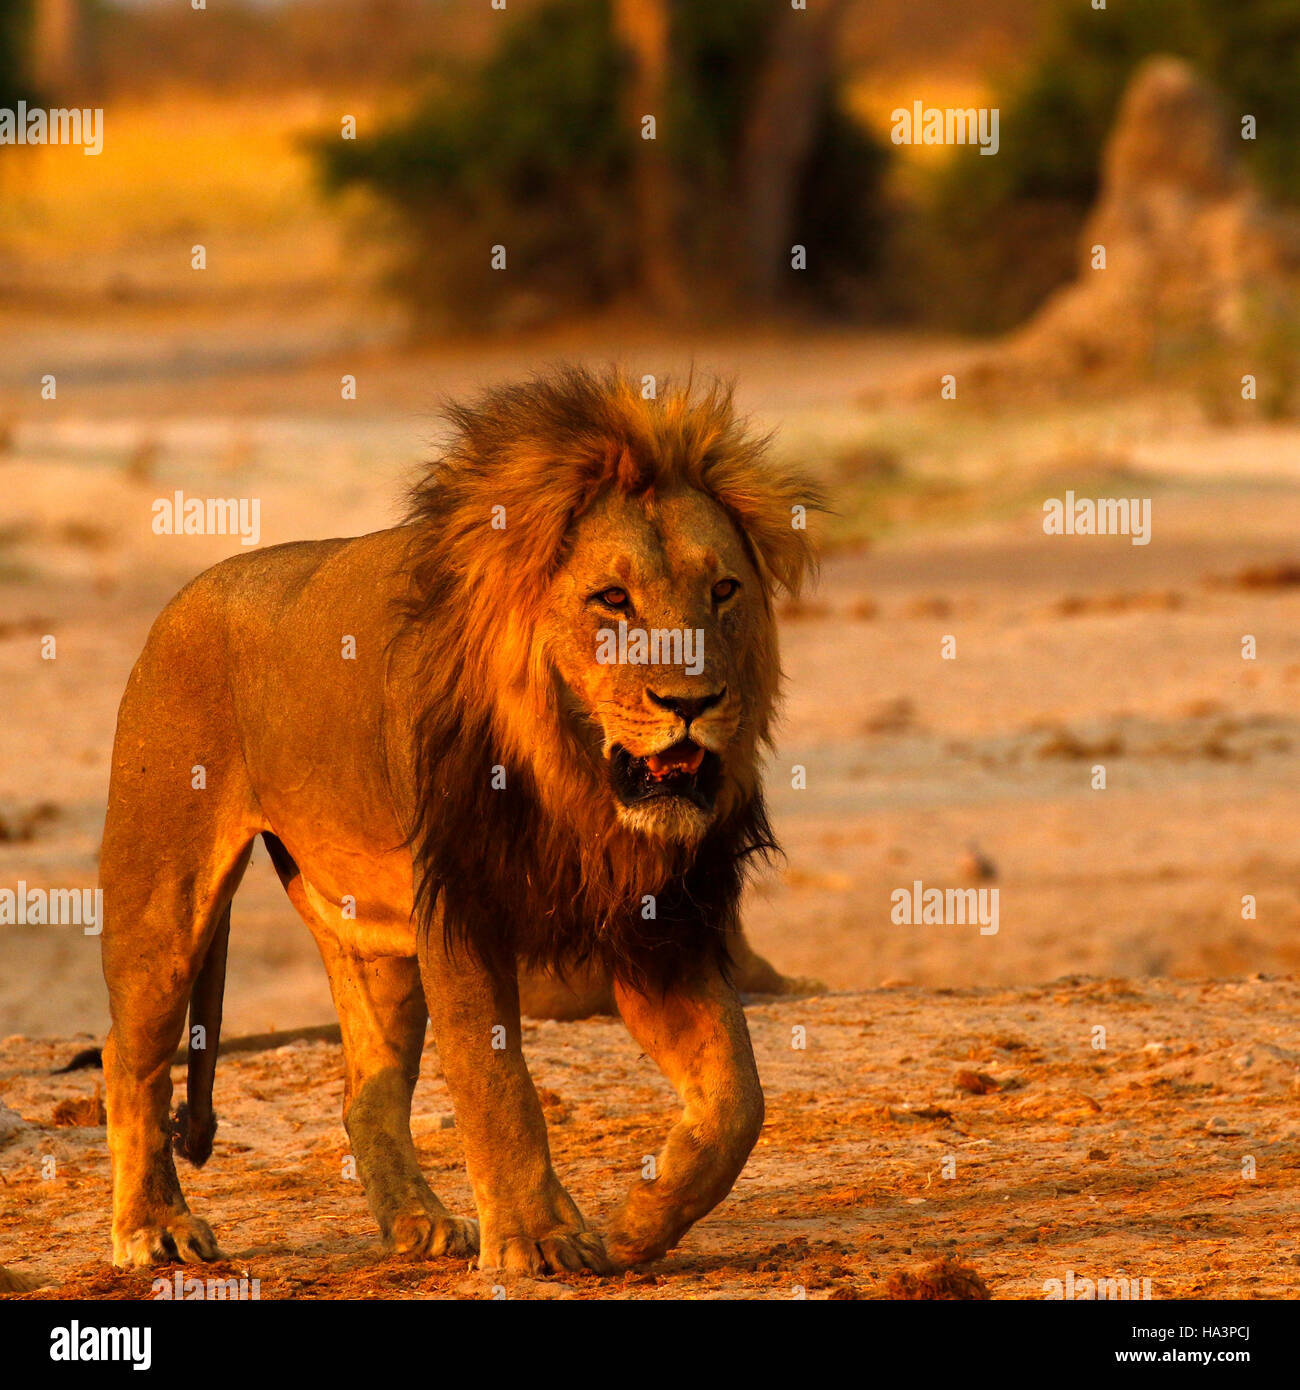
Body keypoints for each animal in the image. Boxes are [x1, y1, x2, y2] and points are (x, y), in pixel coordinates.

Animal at [100, 367, 821, 1274]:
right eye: (612, 600)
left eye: (723, 591)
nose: (692, 703)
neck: (578, 786)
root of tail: (187, 596)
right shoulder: (462, 902)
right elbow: (496, 1085)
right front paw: (539, 1238)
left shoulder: (660, 927)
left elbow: (738, 1101)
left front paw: (638, 1224)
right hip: (165, 902)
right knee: (131, 1061)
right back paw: (153, 1226)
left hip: (372, 940)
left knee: (366, 1093)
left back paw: (420, 1223)